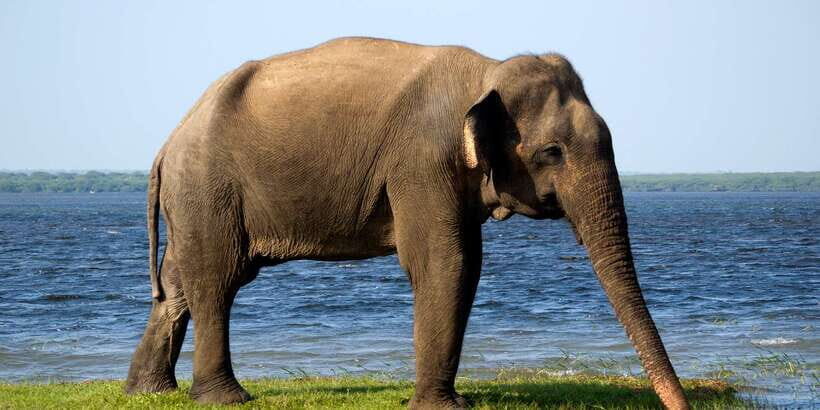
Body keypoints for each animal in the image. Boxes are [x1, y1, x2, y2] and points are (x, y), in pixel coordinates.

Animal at [124, 37, 689, 409]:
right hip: (209, 188)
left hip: (196, 196)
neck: (485, 73)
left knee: (178, 282)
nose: (679, 404)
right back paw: (226, 399)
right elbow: (445, 261)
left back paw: (149, 391)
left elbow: (467, 263)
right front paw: (442, 408)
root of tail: (168, 142)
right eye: (552, 152)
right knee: (217, 279)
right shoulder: (421, 161)